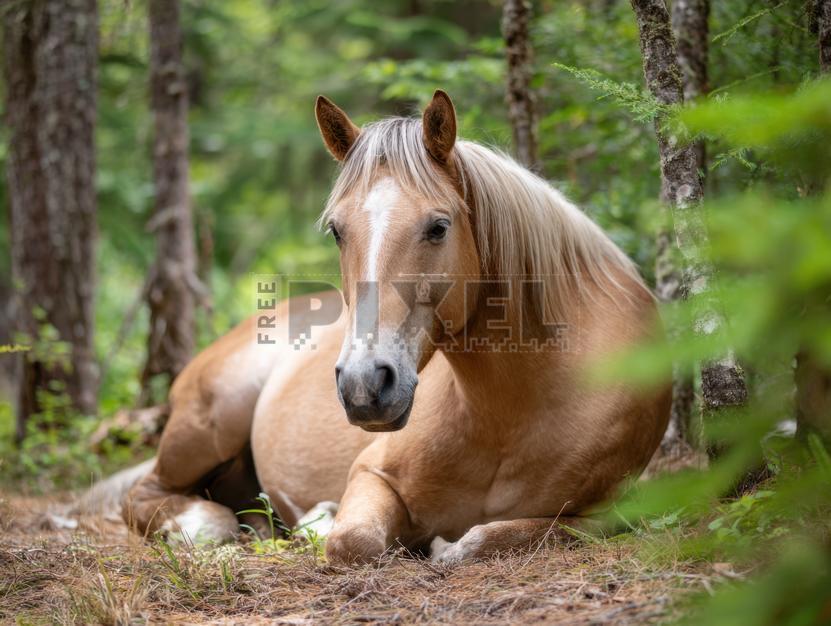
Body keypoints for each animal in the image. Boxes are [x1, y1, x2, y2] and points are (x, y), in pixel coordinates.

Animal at [116, 90, 670, 564]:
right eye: (336, 231)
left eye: (439, 227)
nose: (364, 384)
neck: (506, 416)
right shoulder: (370, 474)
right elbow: (354, 542)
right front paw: (329, 524)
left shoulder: (605, 515)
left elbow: (485, 540)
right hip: (208, 425)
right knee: (148, 496)